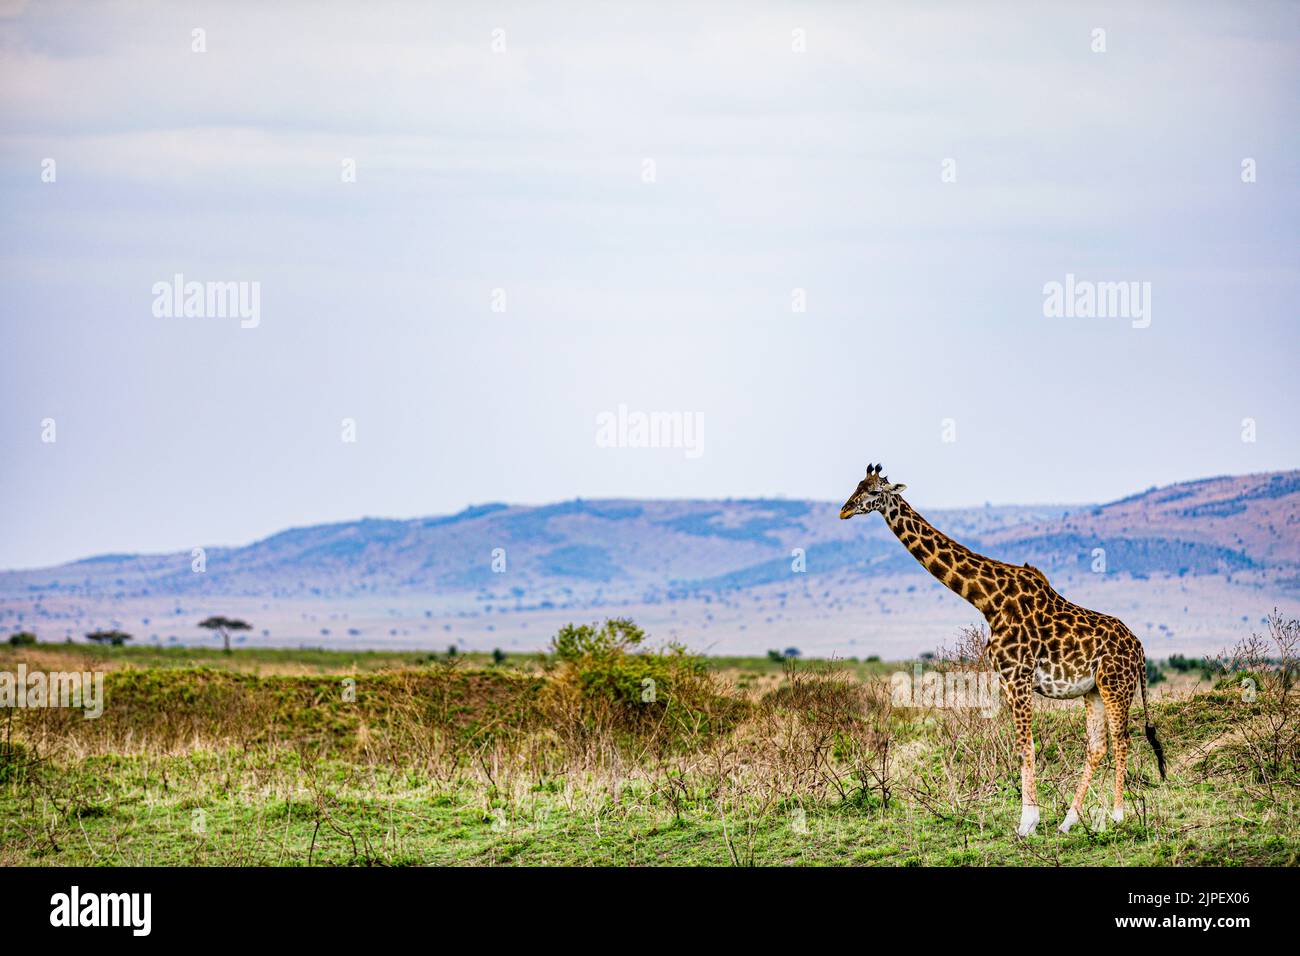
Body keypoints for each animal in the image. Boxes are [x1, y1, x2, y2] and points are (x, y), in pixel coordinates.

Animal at [840, 464, 1166, 836]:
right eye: (856, 486)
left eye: (873, 492)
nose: (844, 511)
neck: (987, 599)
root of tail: (1139, 647)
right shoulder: (1010, 679)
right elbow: (1025, 745)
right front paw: (1034, 819)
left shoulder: (1017, 676)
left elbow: (1026, 745)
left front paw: (1027, 822)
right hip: (1094, 690)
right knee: (1098, 746)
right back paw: (1068, 821)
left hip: (1116, 685)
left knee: (1122, 738)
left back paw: (1116, 816)